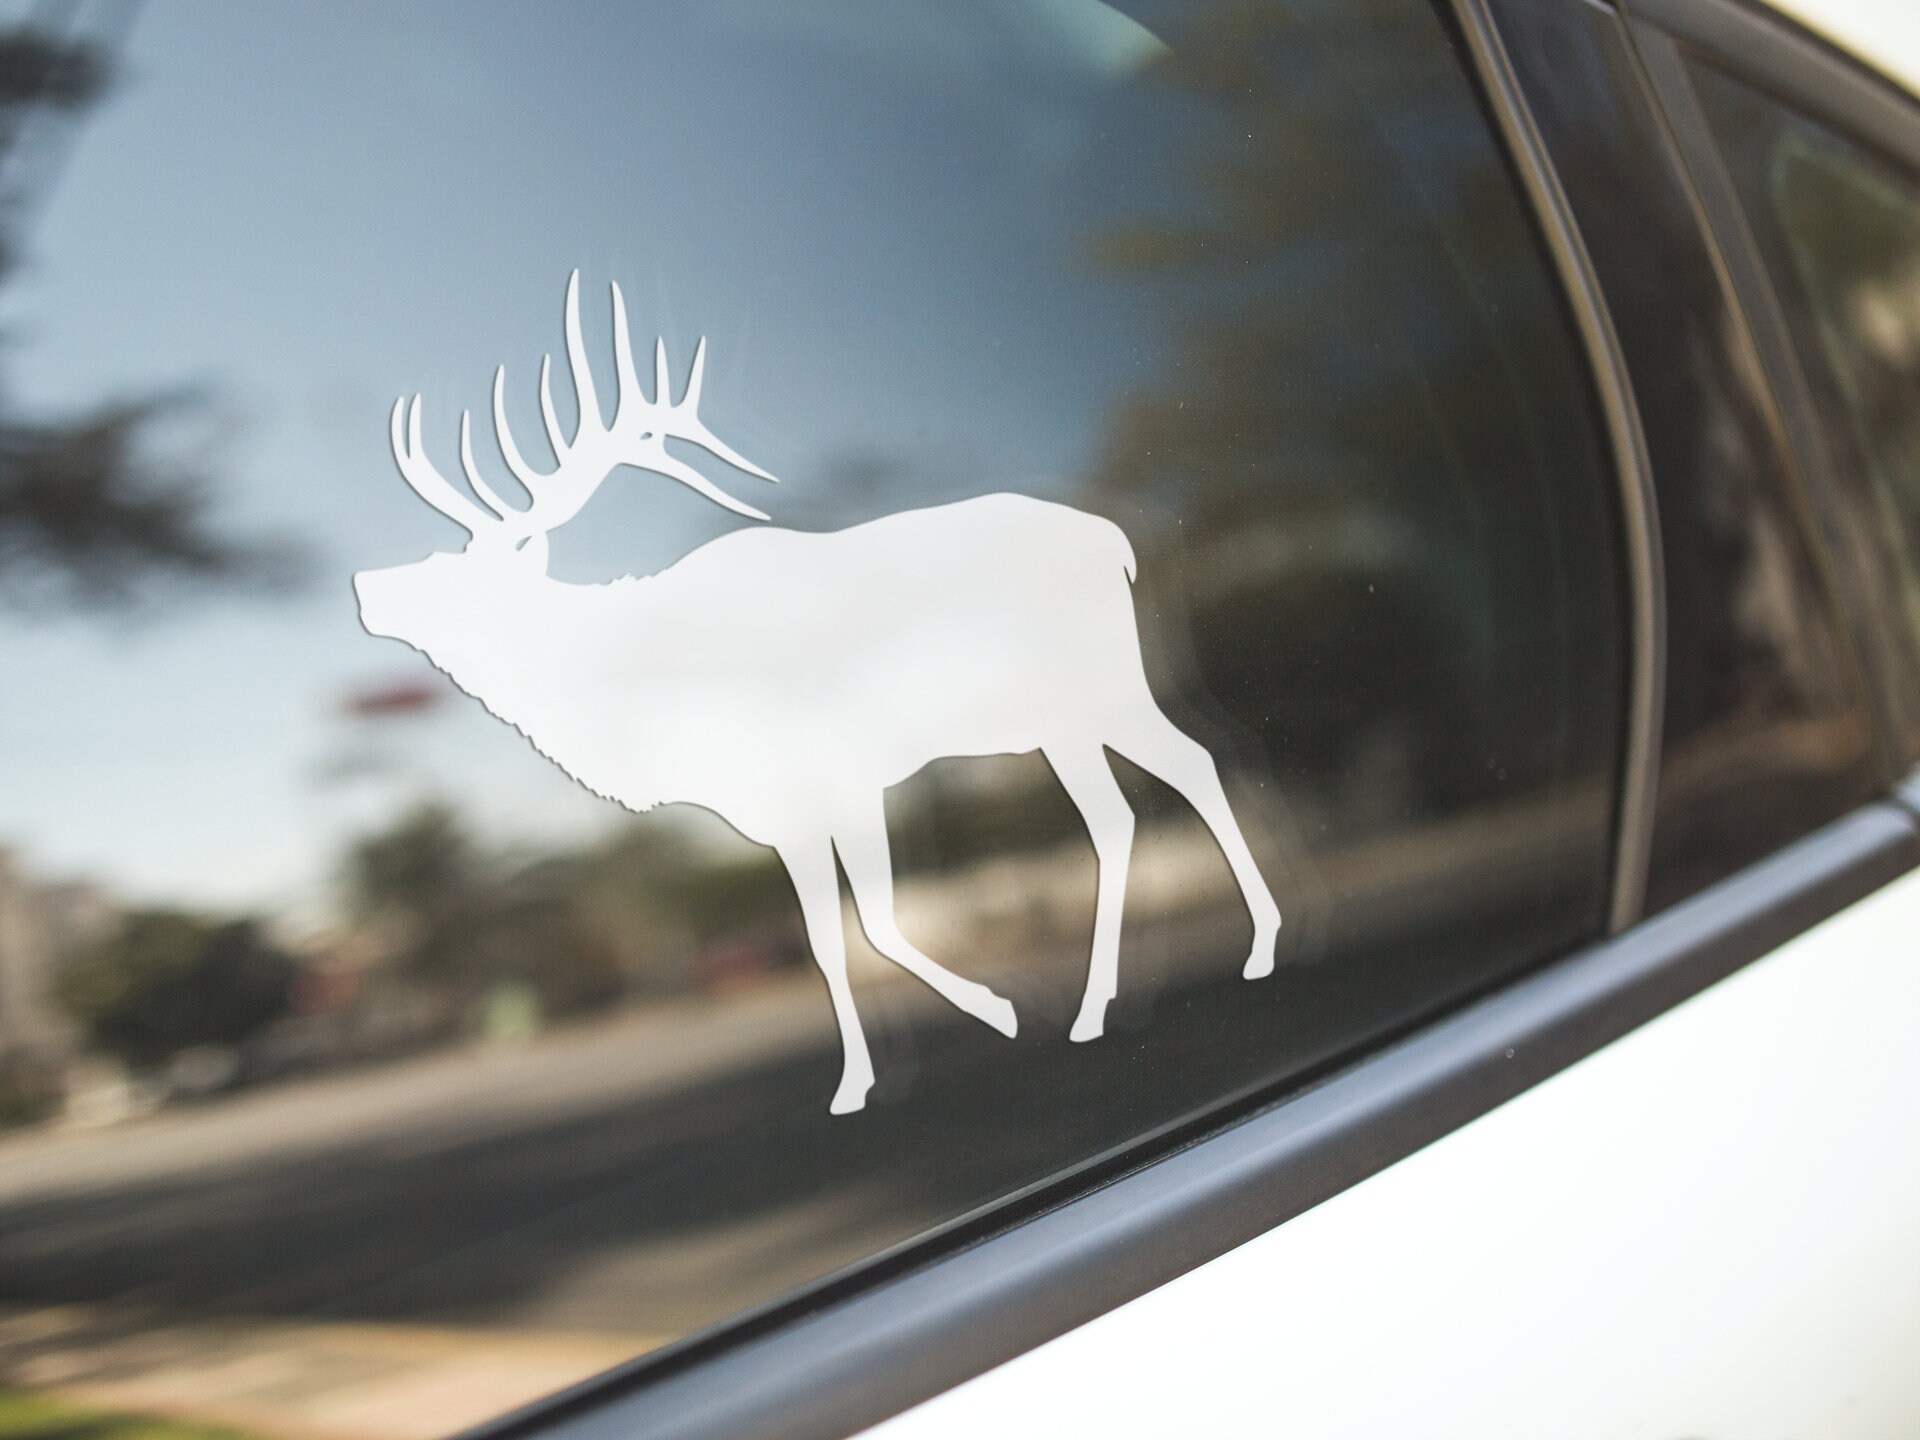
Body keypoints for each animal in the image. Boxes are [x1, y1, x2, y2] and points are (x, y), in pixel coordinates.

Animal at [353, 272, 1282, 1113]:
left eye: (457, 577)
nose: (365, 586)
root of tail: (1118, 539)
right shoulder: (796, 809)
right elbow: (831, 939)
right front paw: (869, 1076)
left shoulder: (836, 784)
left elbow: (868, 925)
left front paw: (993, 1013)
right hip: (1074, 715)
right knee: (1151, 791)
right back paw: (1154, 987)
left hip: (1092, 695)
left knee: (1166, 781)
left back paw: (1212, 965)